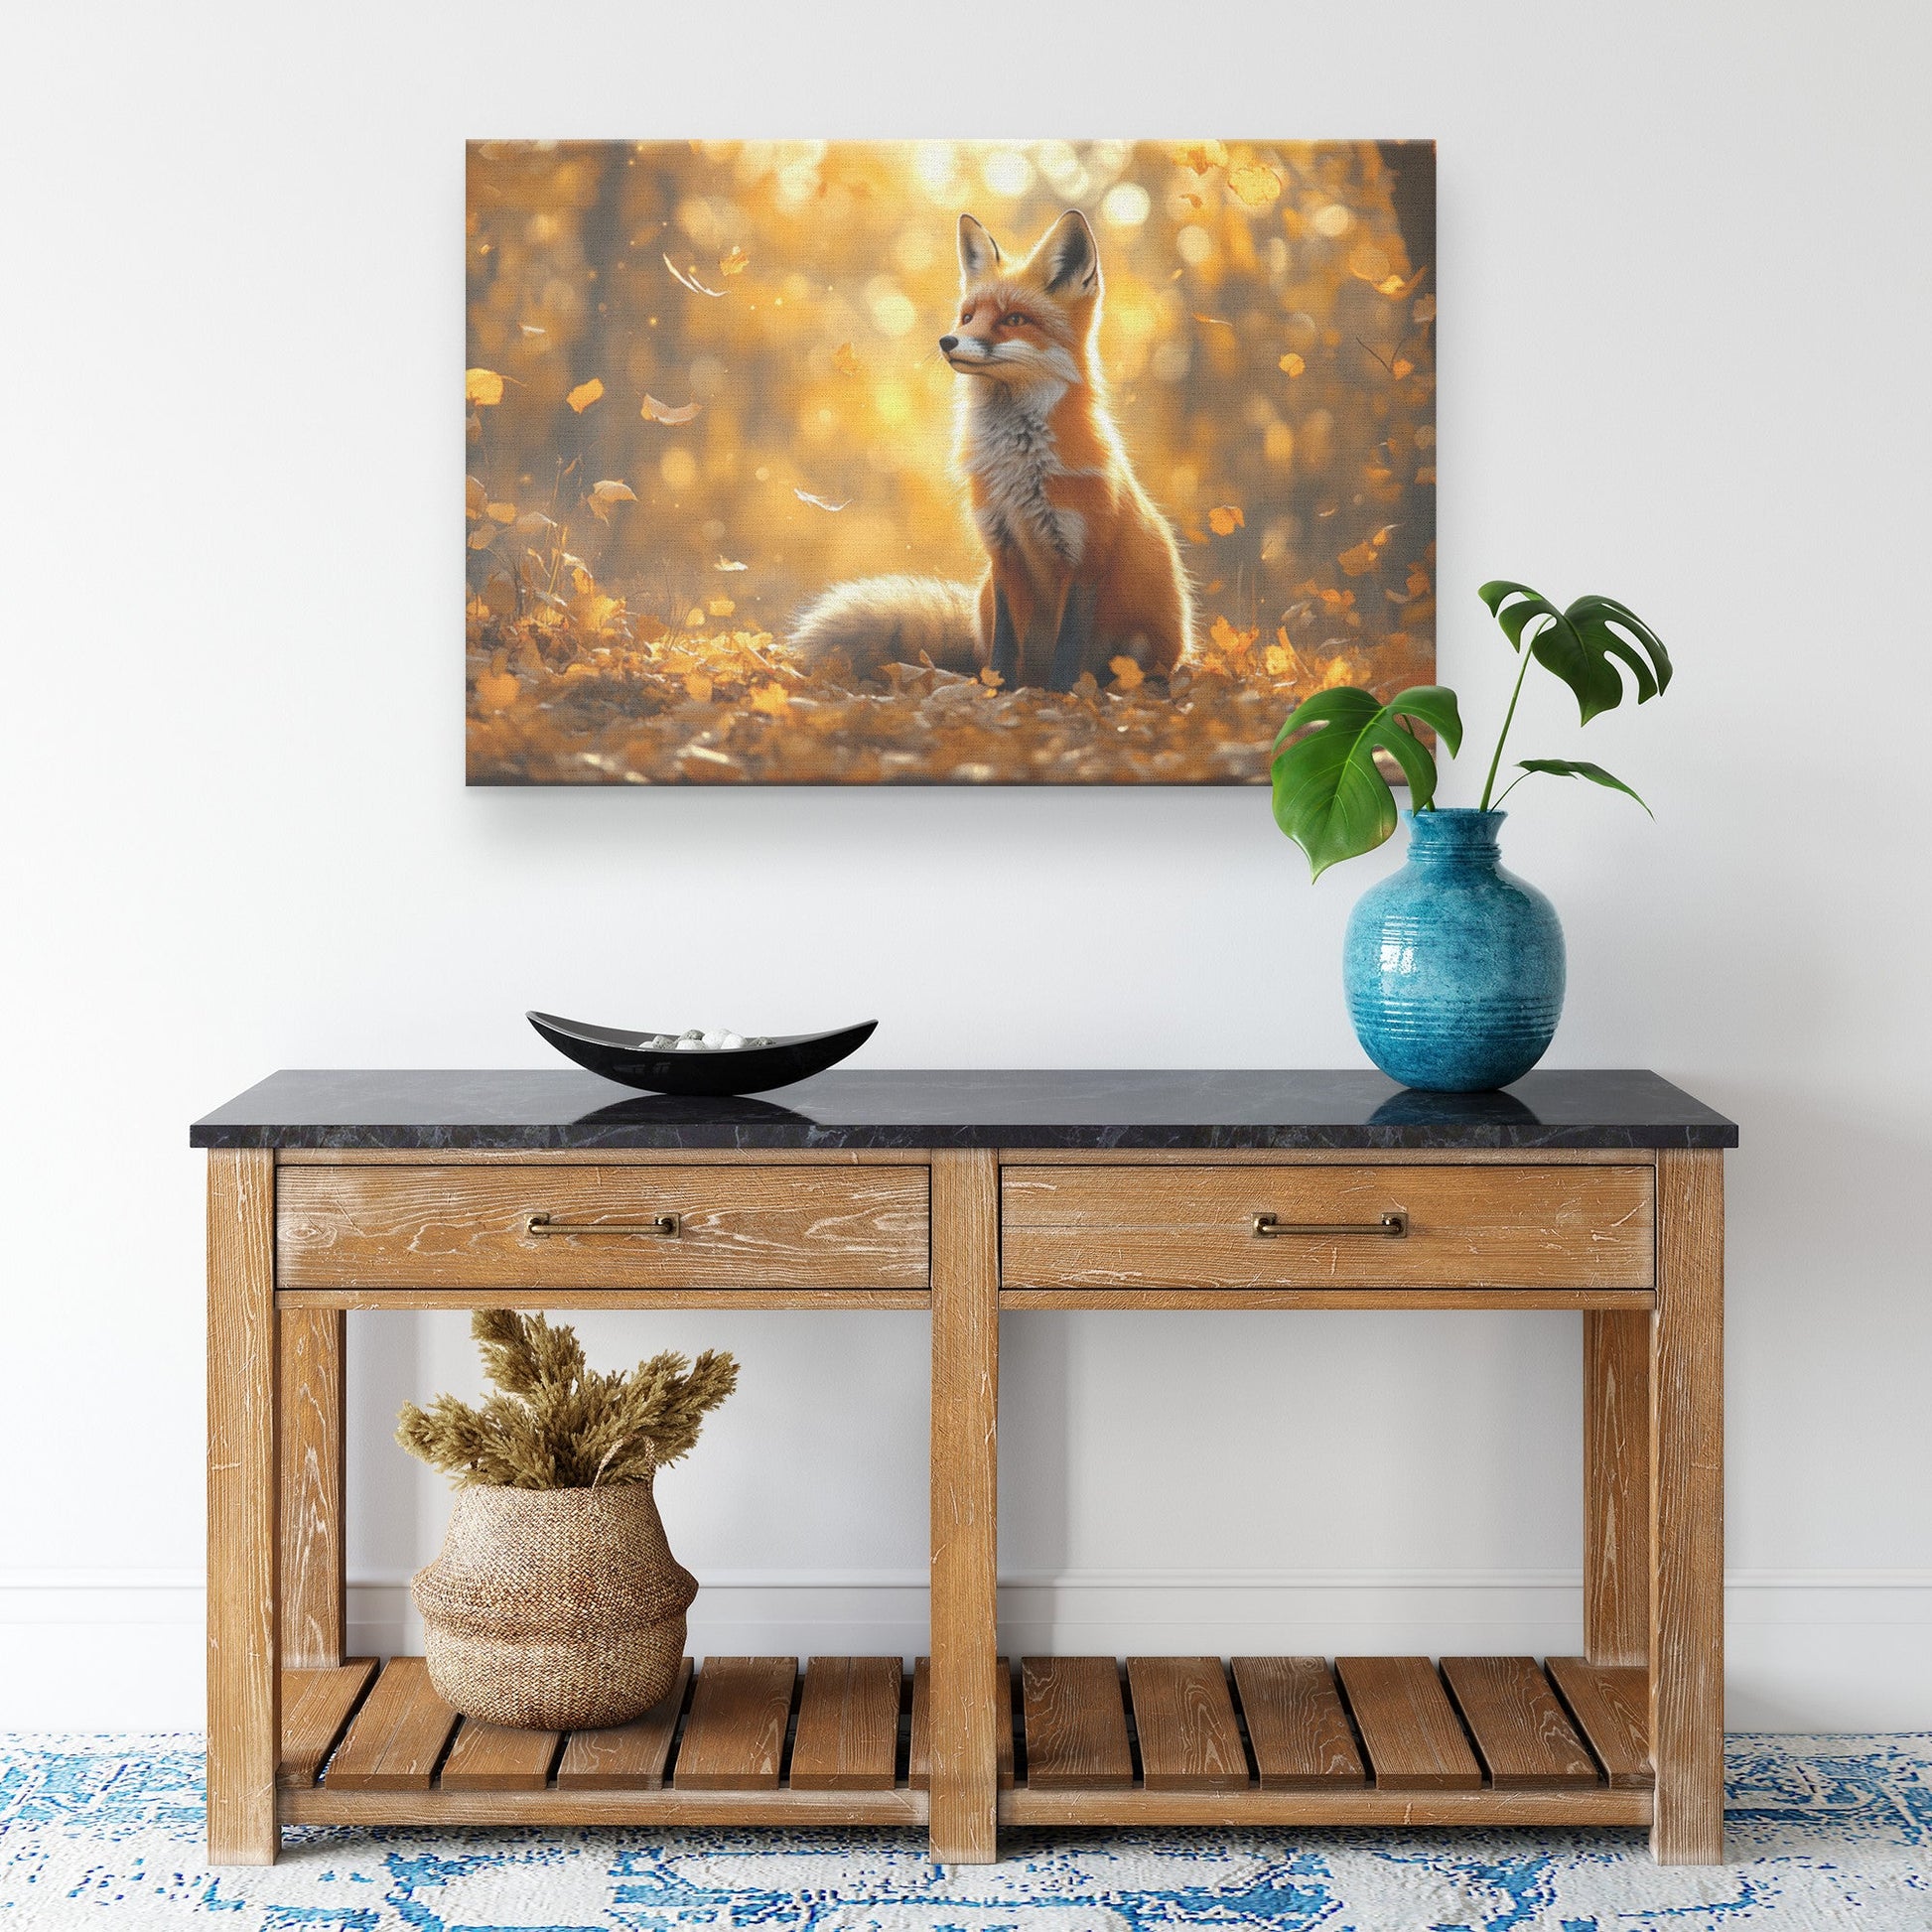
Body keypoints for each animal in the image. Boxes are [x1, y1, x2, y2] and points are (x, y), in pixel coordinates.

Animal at [791, 208, 1193, 691]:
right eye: (967, 317)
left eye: (1014, 319)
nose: (947, 341)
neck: (1019, 466)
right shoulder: (1001, 551)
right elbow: (1004, 642)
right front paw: (996, 689)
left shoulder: (1084, 559)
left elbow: (1068, 646)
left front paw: (1062, 694)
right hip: (984, 599)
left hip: (1142, 644)